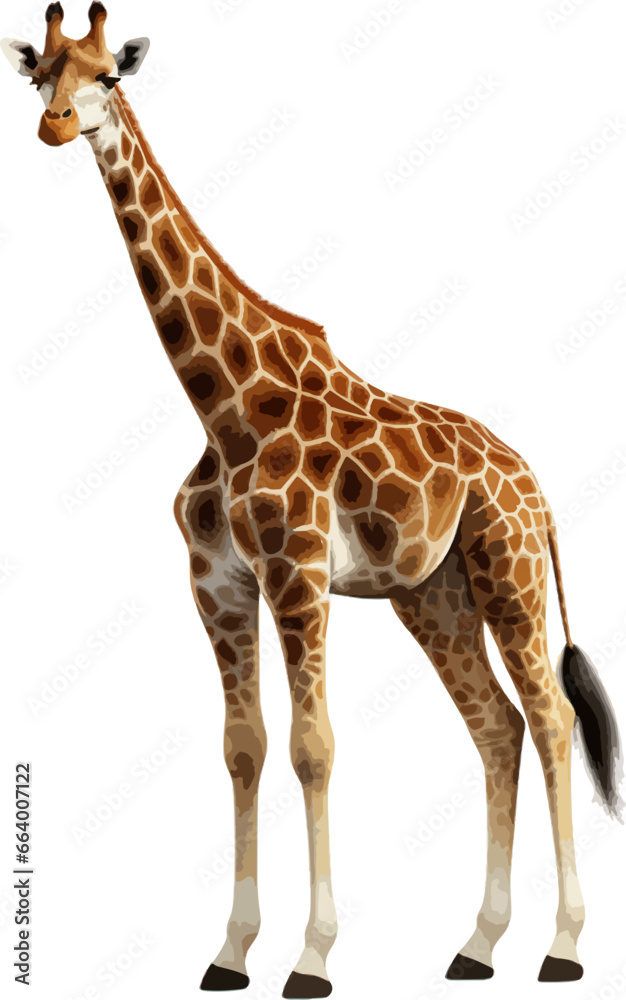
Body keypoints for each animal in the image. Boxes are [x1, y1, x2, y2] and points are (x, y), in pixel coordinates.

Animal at [3, 5, 622, 996]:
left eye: (110, 76)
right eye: (40, 75)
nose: (56, 126)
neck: (223, 405)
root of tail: (535, 485)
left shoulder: (295, 574)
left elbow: (312, 748)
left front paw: (312, 957)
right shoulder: (216, 582)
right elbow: (243, 748)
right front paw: (229, 953)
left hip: (509, 575)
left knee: (552, 717)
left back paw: (562, 947)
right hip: (433, 594)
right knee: (495, 725)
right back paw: (477, 946)